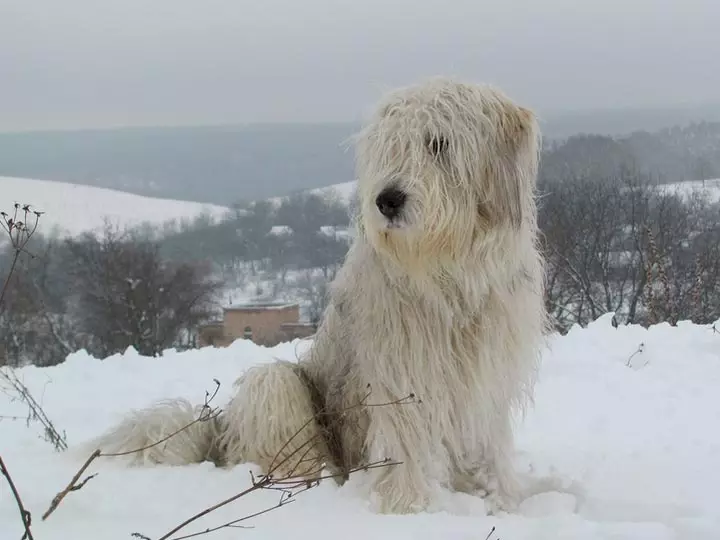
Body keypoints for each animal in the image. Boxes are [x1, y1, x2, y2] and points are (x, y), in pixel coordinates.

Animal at [93, 79, 548, 516]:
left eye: (438, 143)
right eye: (389, 147)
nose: (386, 200)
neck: (449, 271)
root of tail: (219, 434)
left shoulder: (487, 369)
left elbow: (486, 441)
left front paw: (500, 499)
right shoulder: (400, 368)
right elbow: (404, 434)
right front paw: (409, 506)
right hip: (277, 386)